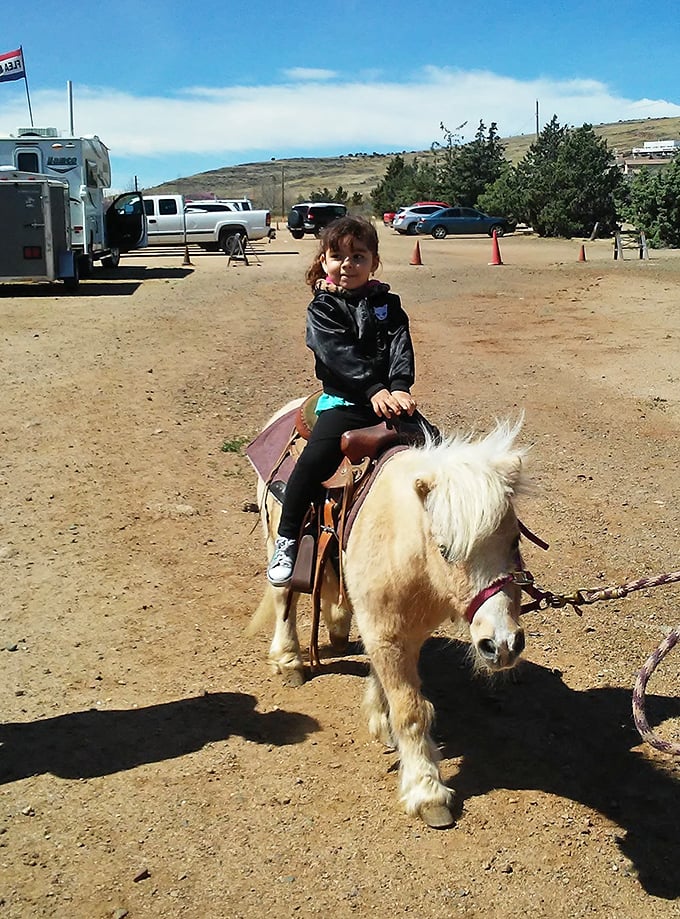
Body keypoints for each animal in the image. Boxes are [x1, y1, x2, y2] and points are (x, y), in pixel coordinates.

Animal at [249, 401, 531, 828]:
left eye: (514, 541)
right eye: (446, 549)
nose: (501, 645)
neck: (406, 546)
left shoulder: (403, 630)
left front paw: (380, 720)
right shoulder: (387, 631)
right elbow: (411, 710)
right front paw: (427, 792)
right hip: (276, 536)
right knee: (284, 597)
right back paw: (289, 661)